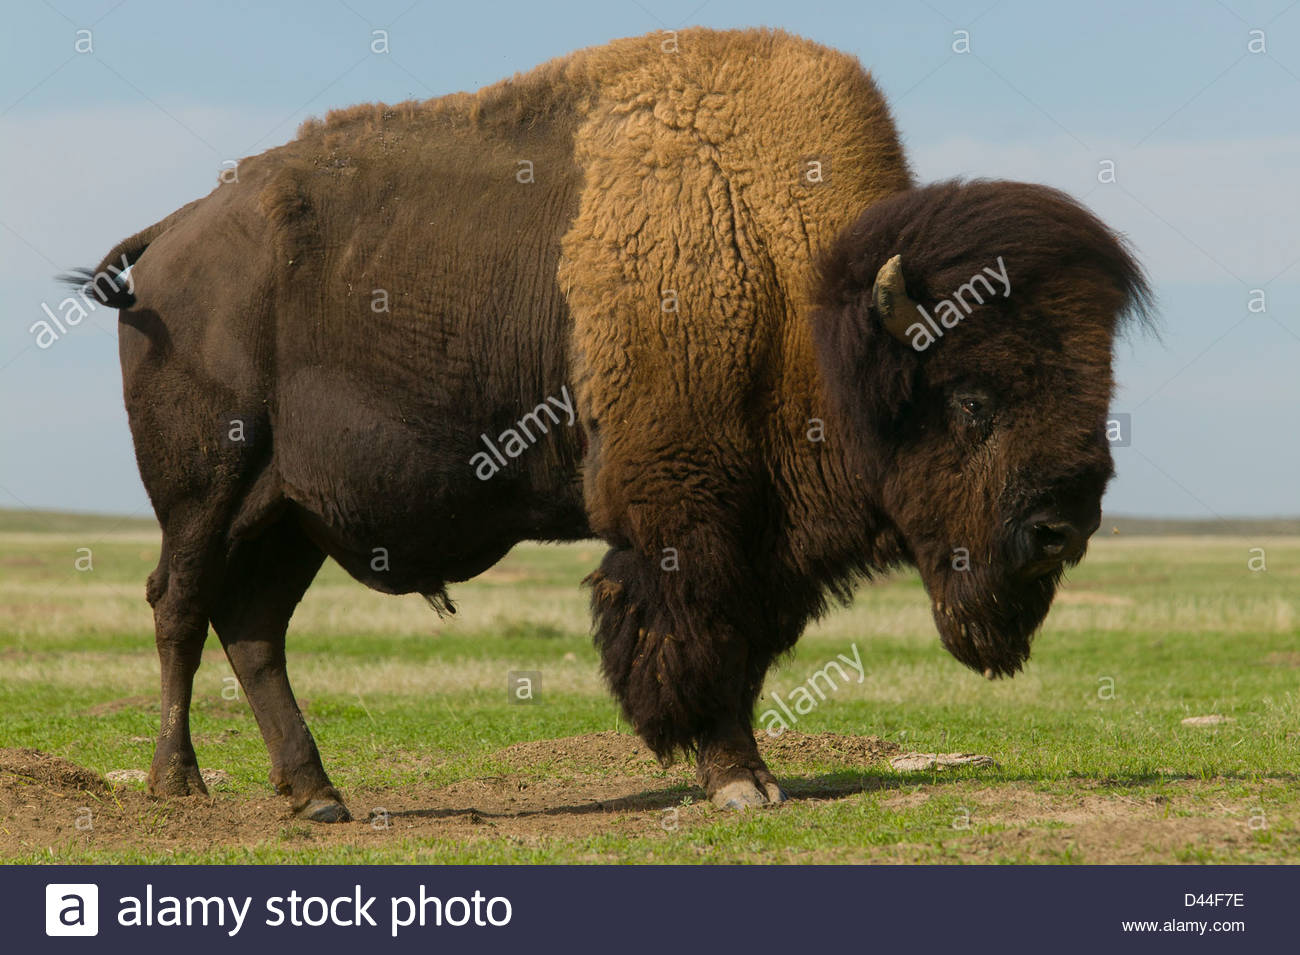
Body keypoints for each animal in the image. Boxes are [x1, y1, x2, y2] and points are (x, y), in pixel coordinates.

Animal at [71, 28, 1149, 819]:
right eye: (971, 400)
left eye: (1097, 389)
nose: (1061, 526)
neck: (786, 281)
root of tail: (171, 236)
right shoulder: (683, 515)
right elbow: (696, 637)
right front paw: (737, 780)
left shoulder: (757, 533)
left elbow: (743, 644)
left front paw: (754, 773)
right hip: (206, 492)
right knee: (179, 605)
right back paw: (180, 782)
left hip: (289, 516)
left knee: (253, 628)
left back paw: (317, 795)